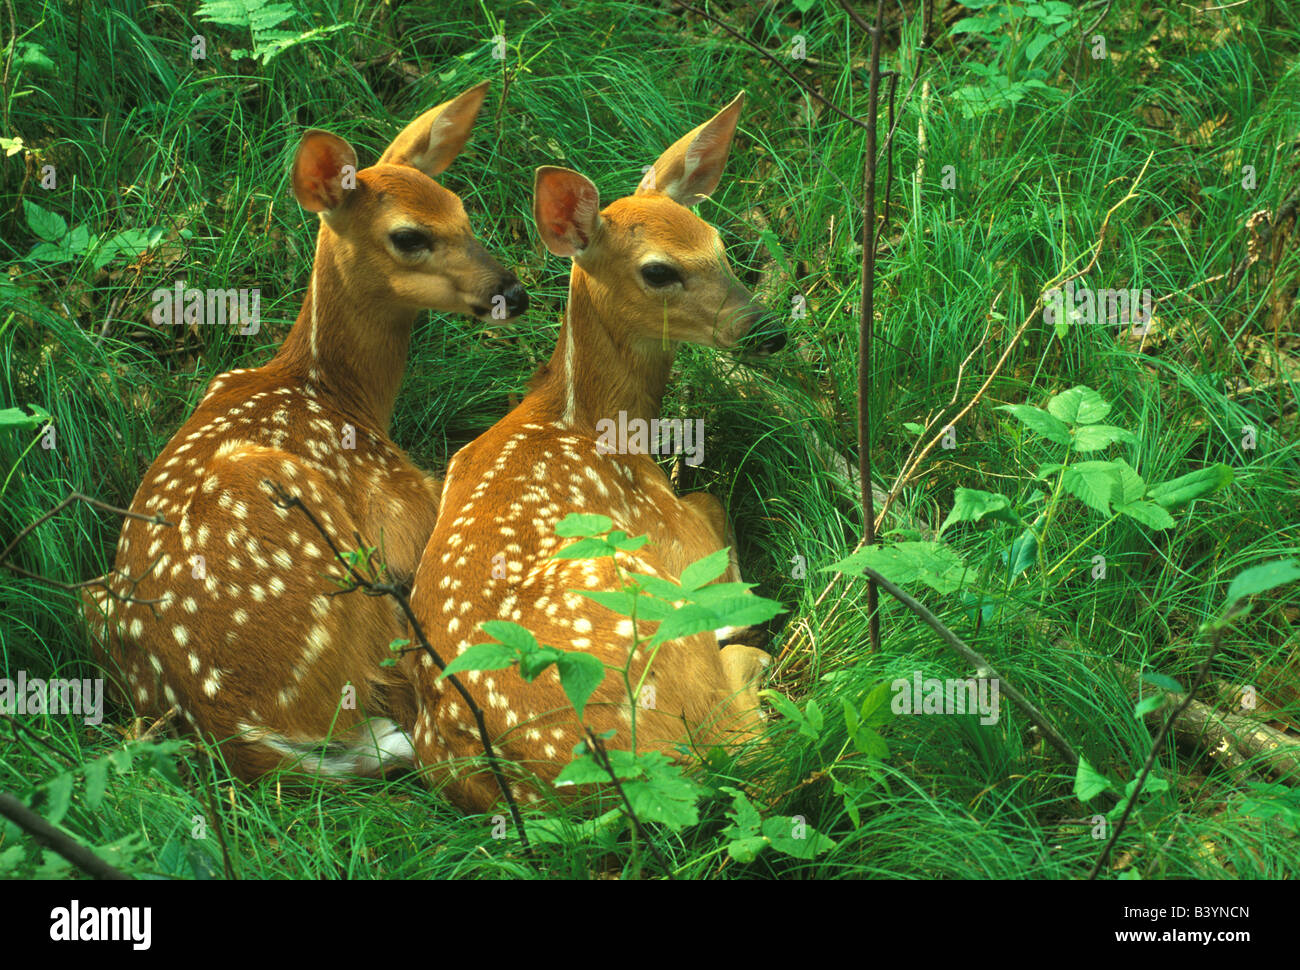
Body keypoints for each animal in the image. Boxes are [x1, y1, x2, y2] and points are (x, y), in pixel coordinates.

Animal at [83, 81, 528, 781]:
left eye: (461, 210)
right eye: (410, 236)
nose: (515, 291)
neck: (340, 395)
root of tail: (233, 729)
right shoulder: (398, 509)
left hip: (93, 605)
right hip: (335, 556)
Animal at [402, 92, 784, 812]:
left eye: (719, 244)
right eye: (659, 270)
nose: (766, 329)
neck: (588, 421)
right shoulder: (676, 535)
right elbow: (709, 502)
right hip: (644, 604)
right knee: (741, 725)